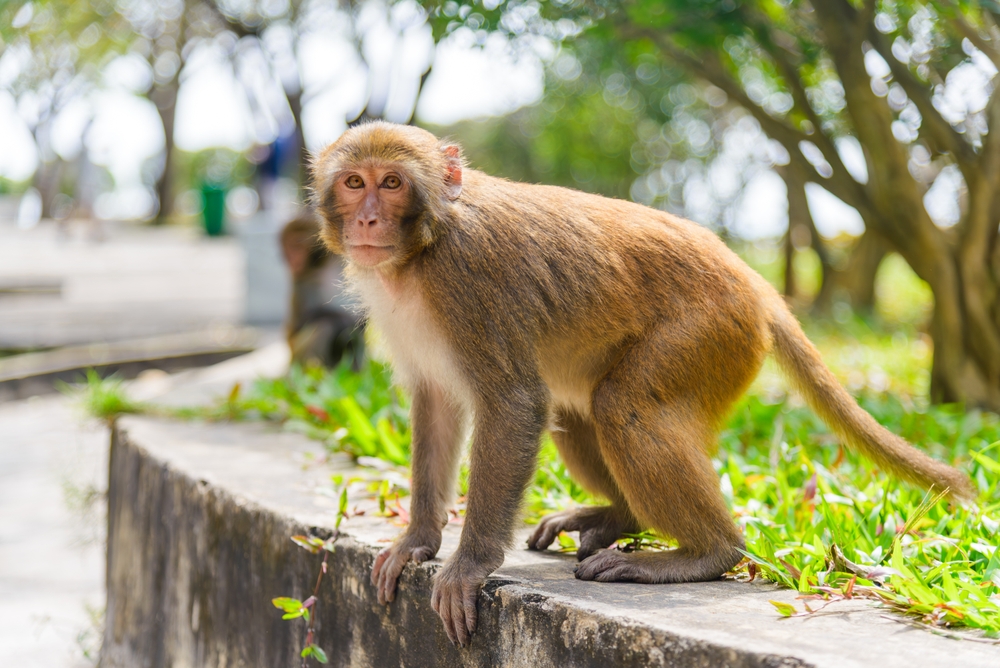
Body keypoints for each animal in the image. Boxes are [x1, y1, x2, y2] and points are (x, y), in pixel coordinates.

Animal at [279, 214, 365, 369]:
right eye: (289, 247)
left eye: (297, 245)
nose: (292, 259)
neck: (323, 263)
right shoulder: (302, 278)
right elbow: (300, 323)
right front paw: (341, 320)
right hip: (296, 356)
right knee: (325, 327)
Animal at [310, 121, 974, 647]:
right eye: (354, 183)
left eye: (392, 183)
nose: (368, 218)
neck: (422, 249)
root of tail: (755, 284)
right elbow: (437, 404)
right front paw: (417, 541)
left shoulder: (468, 277)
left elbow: (514, 403)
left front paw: (469, 566)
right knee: (579, 411)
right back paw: (620, 517)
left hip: (712, 334)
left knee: (621, 406)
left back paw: (707, 552)